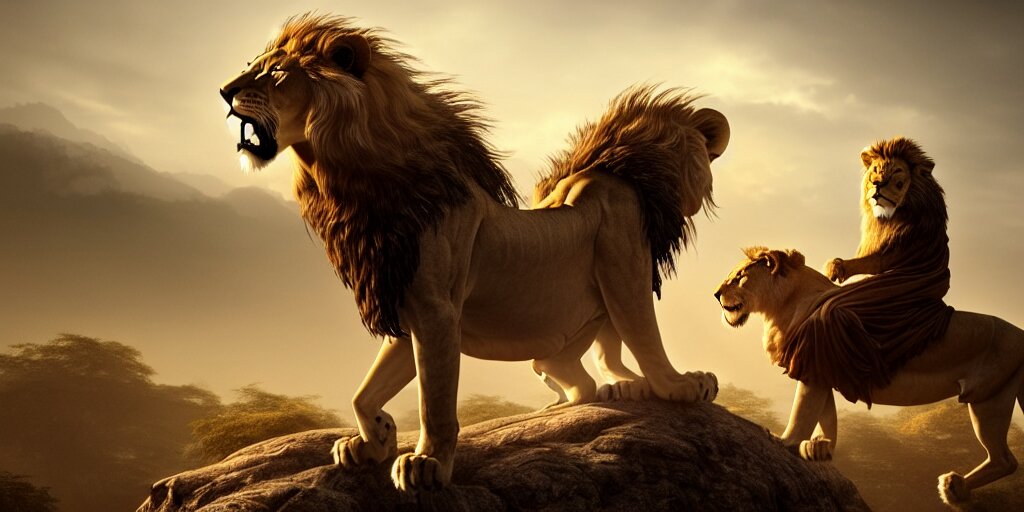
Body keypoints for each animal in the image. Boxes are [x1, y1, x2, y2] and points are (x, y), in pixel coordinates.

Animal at [219, 14, 727, 491]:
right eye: (252, 65)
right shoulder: (405, 308)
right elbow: (364, 392)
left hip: (610, 258)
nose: (225, 91)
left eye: (276, 72)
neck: (354, 183)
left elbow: (436, 402)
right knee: (566, 374)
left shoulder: (437, 311)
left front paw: (426, 463)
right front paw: (374, 439)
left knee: (617, 337)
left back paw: (633, 384)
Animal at [715, 247, 1024, 504]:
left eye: (739, 277)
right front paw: (821, 448)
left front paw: (784, 441)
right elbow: (826, 415)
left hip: (988, 399)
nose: (716, 294)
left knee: (1006, 459)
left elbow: (802, 413)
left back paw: (954, 488)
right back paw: (956, 488)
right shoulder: (820, 373)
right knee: (1004, 459)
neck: (784, 306)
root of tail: (1020, 332)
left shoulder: (812, 371)